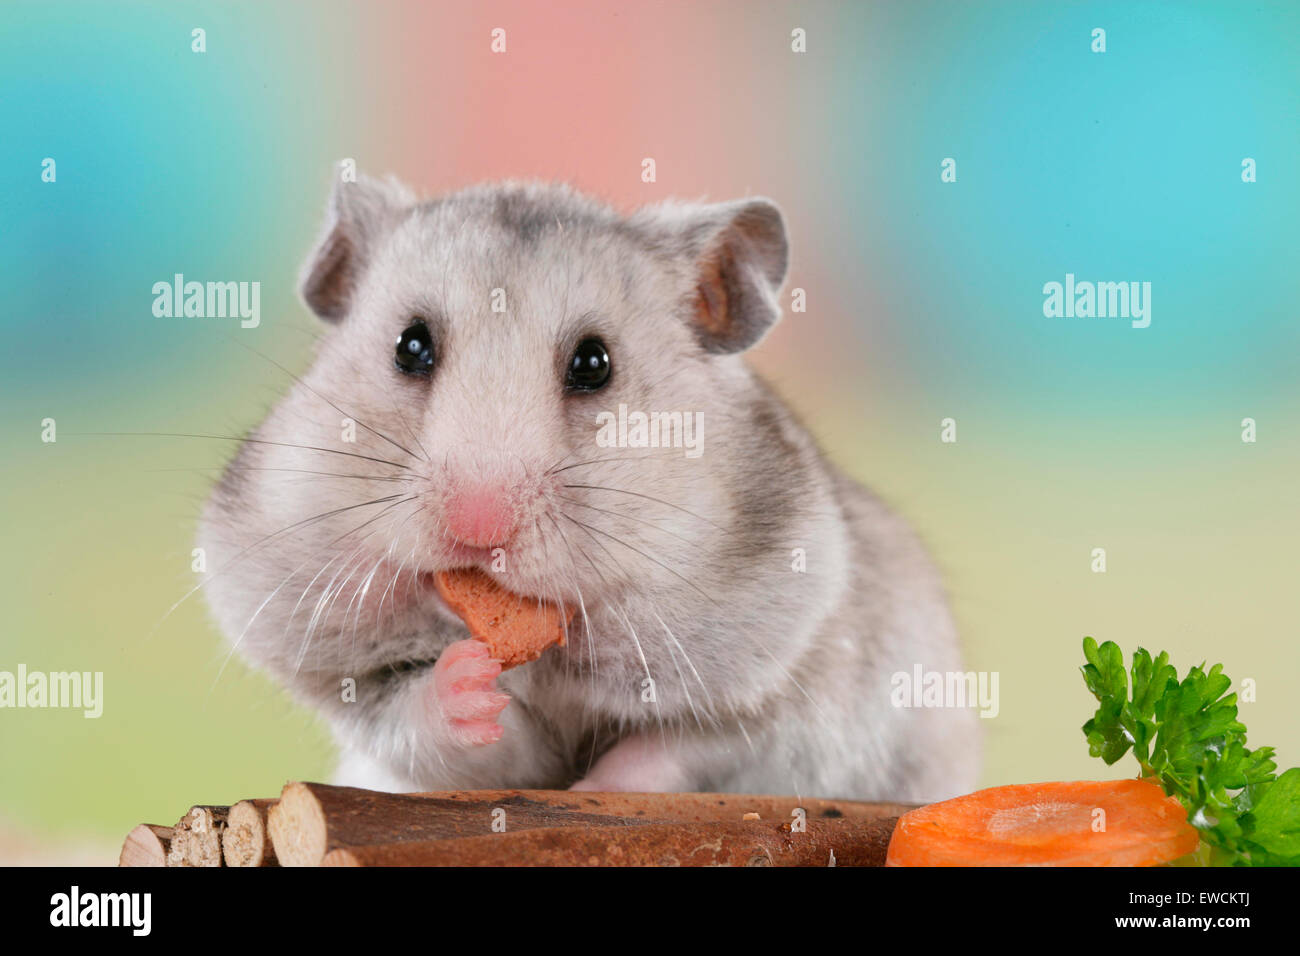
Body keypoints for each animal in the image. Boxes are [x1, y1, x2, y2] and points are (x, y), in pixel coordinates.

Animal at [196, 169, 981, 802]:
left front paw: (590, 790)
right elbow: (431, 729)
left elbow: (677, 747)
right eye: (410, 347)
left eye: (594, 364)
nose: (477, 527)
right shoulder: (366, 700)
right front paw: (469, 680)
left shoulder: (796, 693)